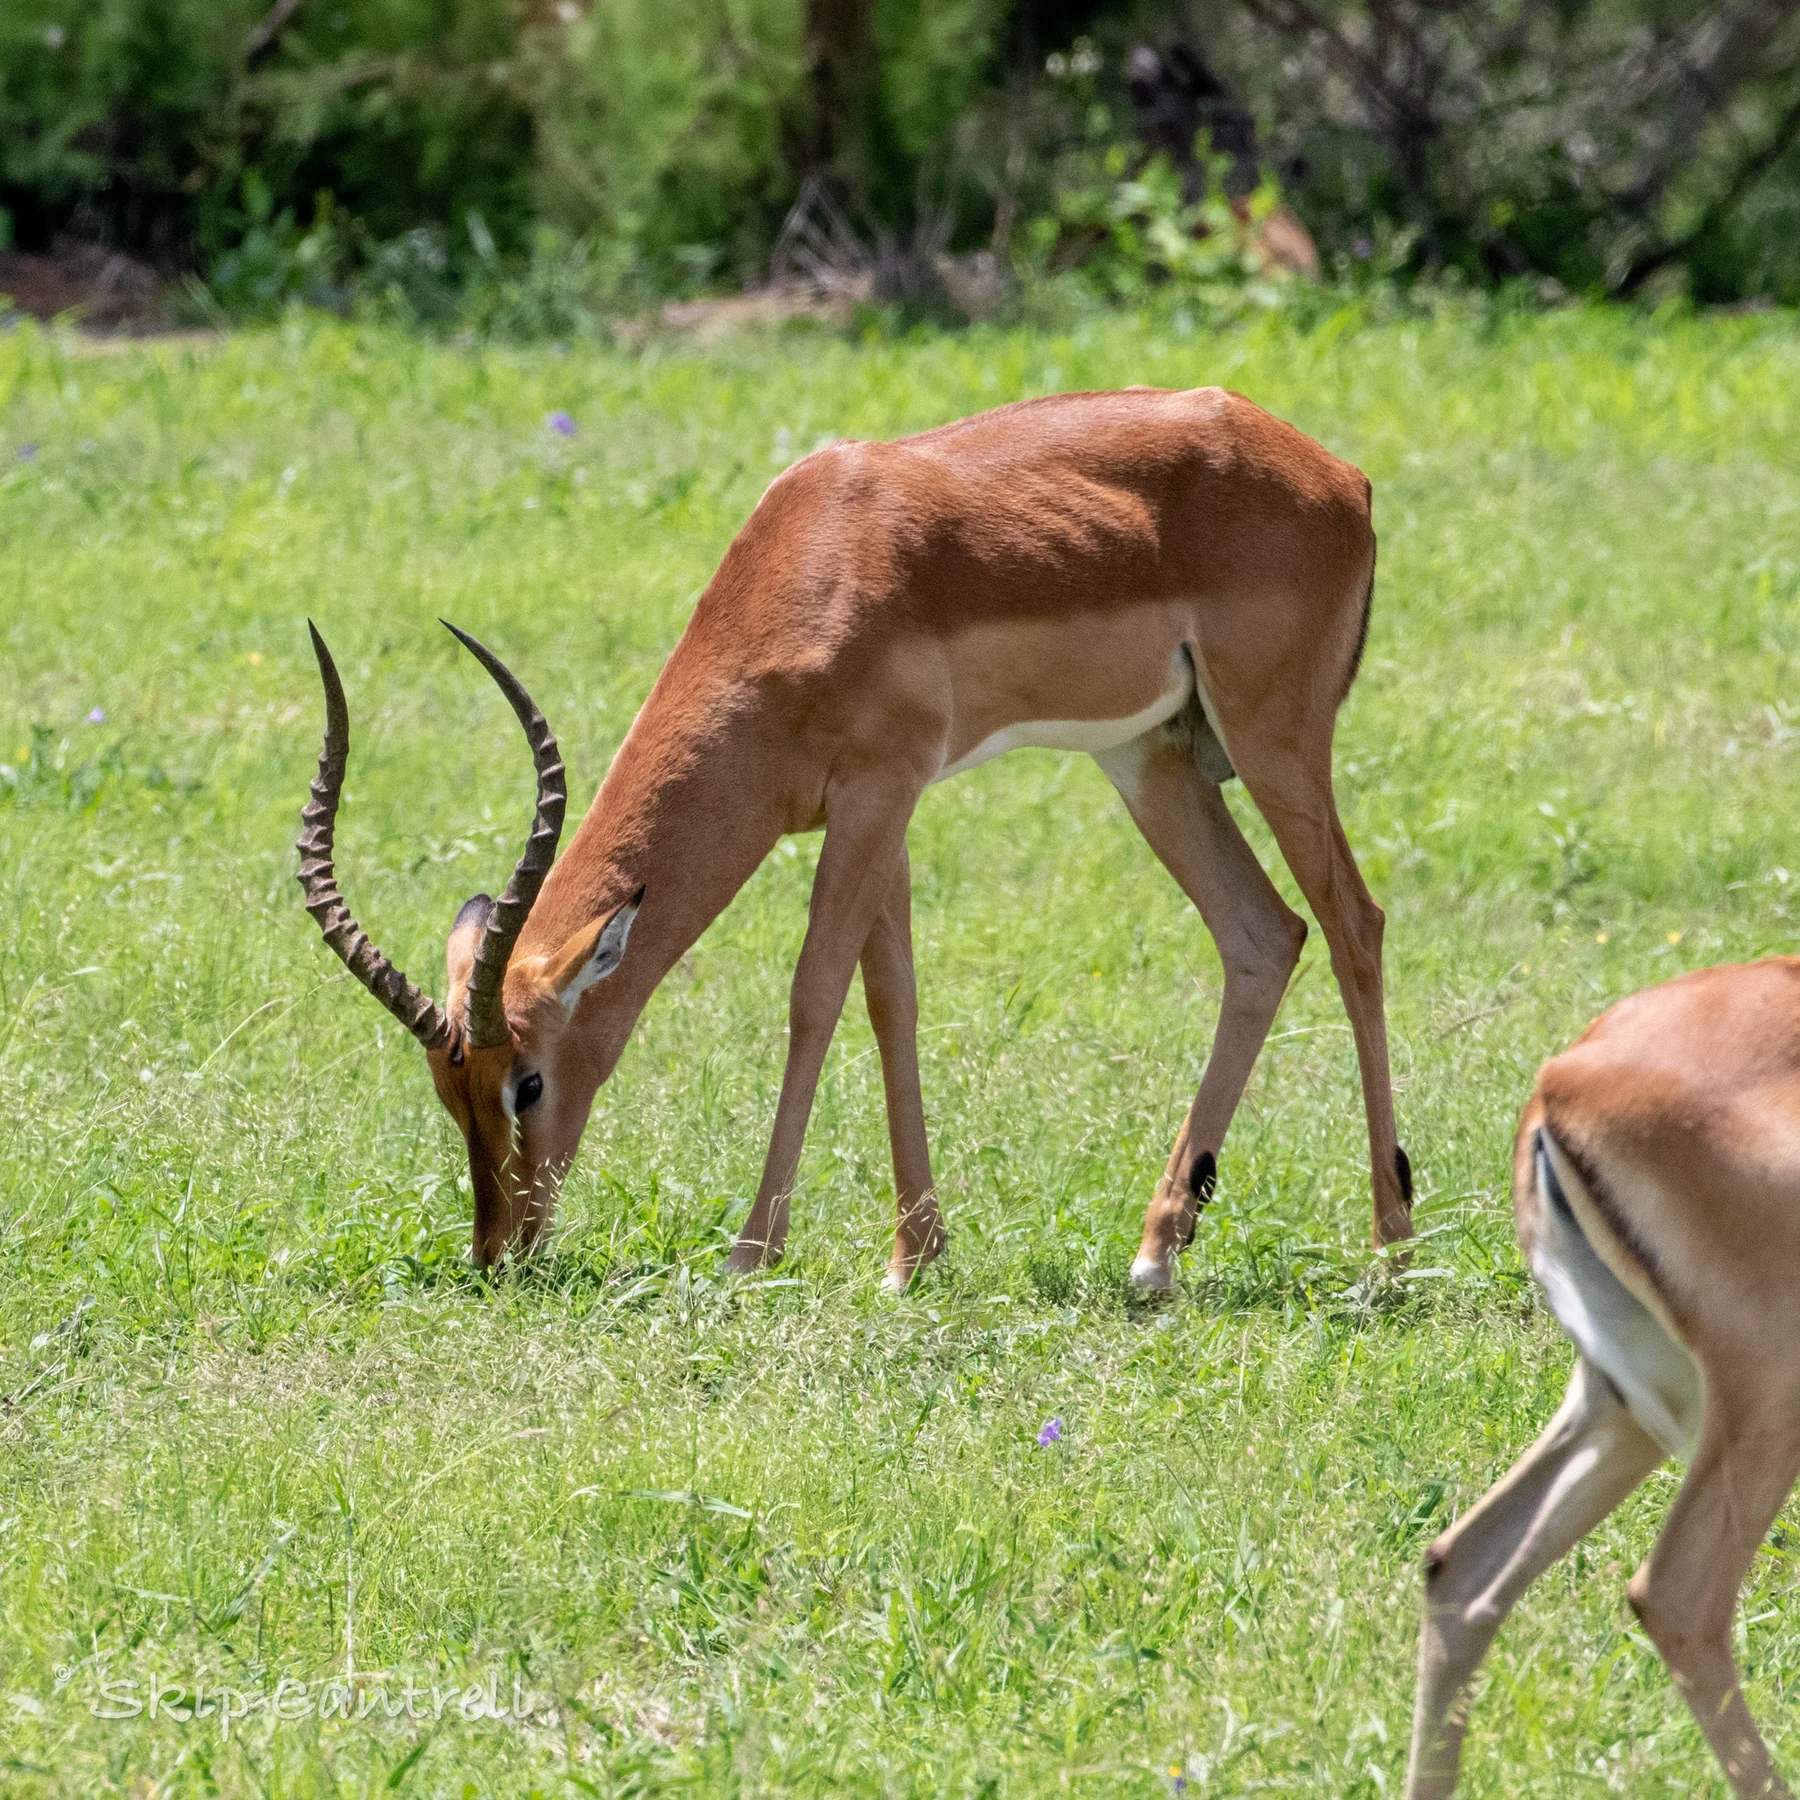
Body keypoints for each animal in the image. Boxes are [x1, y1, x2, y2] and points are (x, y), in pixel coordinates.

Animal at [297, 386, 1411, 1284]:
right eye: (449, 1089)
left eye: (527, 1079)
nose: (502, 1250)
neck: (815, 566)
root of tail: (1343, 479)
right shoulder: (885, 811)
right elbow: (893, 1001)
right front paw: (916, 1257)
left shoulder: (878, 791)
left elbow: (814, 997)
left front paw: (750, 1256)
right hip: (1153, 759)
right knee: (1264, 935)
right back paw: (1156, 1255)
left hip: (1273, 740)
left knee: (1354, 922)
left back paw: (1388, 1259)